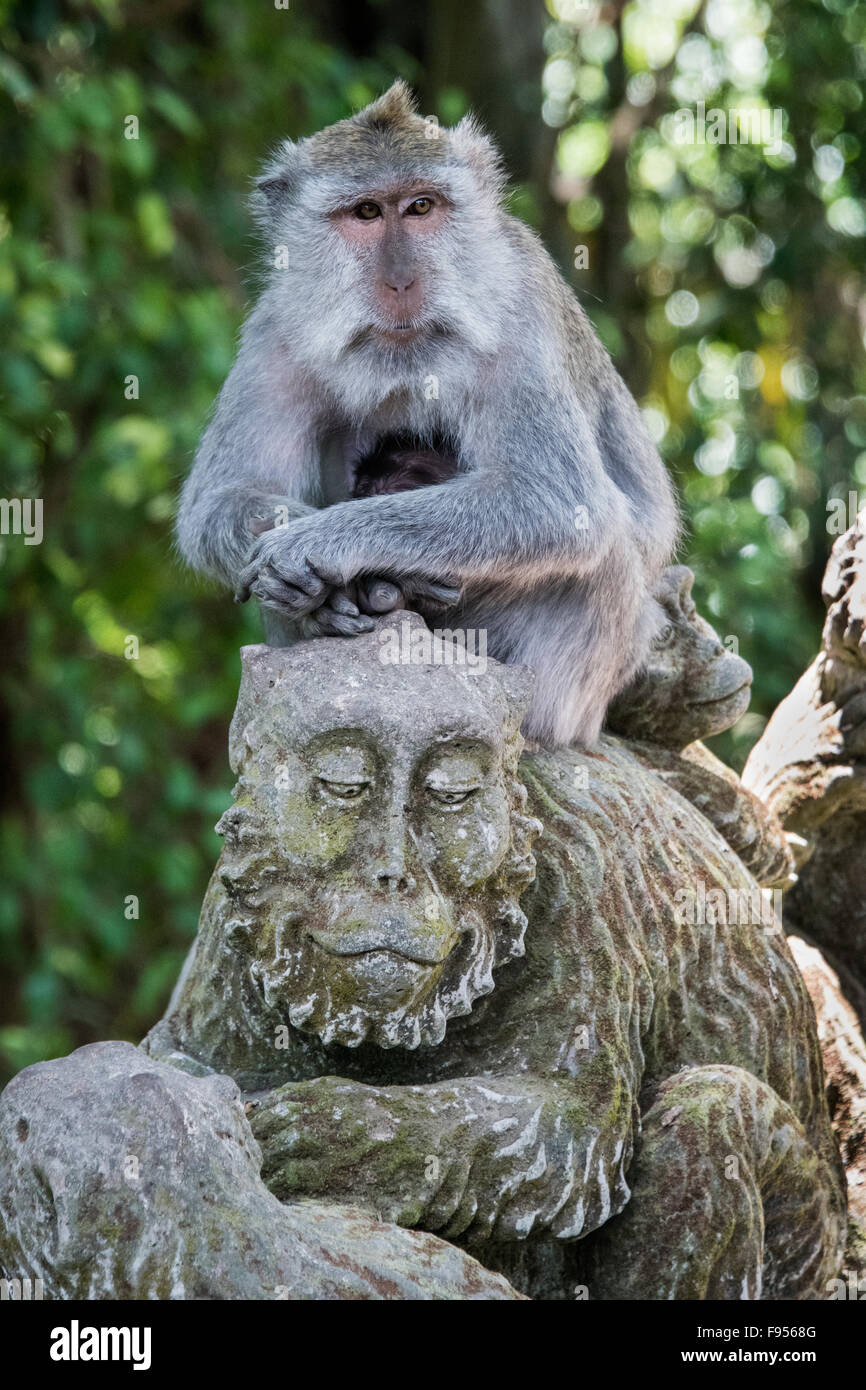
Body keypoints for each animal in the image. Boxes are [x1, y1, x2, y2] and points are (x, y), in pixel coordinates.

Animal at [176, 81, 679, 746]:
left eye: (421, 206)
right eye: (367, 213)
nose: (401, 281)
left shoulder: (519, 316)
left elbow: (558, 499)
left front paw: (321, 539)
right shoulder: (275, 329)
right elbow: (220, 499)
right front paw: (302, 557)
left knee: (607, 548)